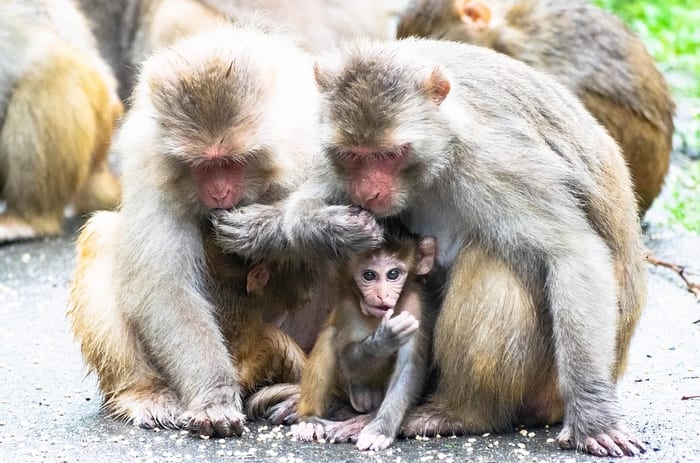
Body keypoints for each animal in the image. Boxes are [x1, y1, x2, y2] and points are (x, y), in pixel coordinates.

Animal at [66, 24, 353, 437]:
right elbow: (164, 287)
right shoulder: (149, 159)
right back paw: (144, 391)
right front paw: (214, 397)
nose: (219, 192)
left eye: (231, 162)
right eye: (203, 166)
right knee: (104, 237)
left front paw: (299, 230)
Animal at [293, 231, 436, 451]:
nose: (382, 295)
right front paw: (385, 337)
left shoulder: (414, 306)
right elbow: (348, 359)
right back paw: (309, 419)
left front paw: (380, 431)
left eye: (393, 274)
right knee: (329, 338)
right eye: (369, 275)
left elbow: (407, 367)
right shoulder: (348, 304)